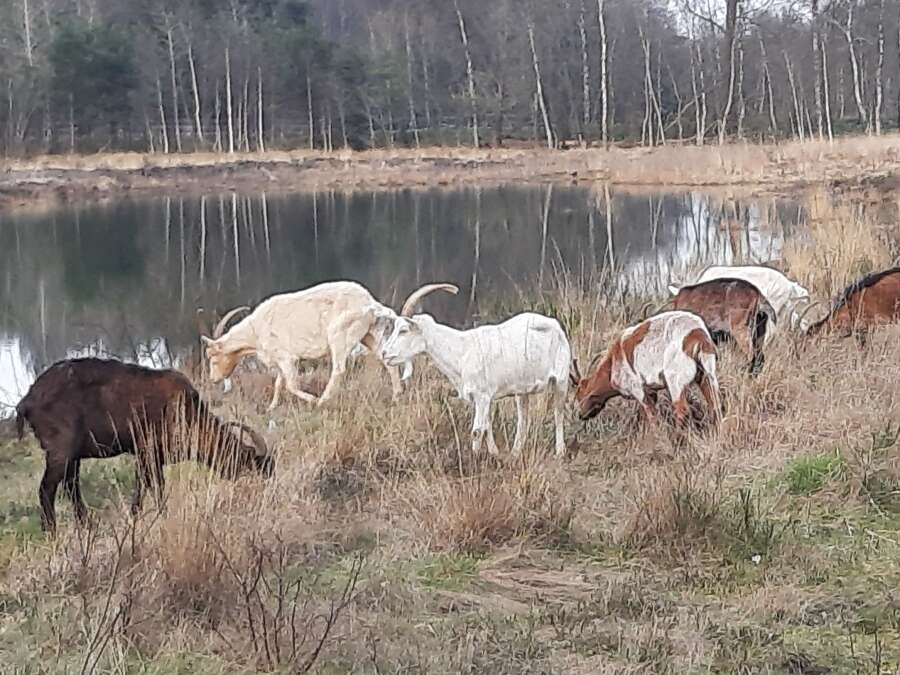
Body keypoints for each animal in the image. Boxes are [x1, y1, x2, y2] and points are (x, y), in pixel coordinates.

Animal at [15, 358, 271, 533]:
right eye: (251, 465)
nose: (257, 494)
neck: (186, 409)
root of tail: (27, 401)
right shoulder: (148, 452)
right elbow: (157, 490)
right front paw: (161, 517)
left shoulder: (147, 457)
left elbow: (142, 488)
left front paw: (136, 518)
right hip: (60, 451)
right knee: (47, 490)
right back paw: (52, 532)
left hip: (73, 456)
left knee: (71, 487)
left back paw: (87, 525)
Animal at [201, 281, 458, 410]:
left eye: (213, 358)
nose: (213, 379)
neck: (255, 330)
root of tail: (370, 303)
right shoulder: (281, 359)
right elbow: (279, 383)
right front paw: (272, 407)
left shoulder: (287, 357)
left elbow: (290, 385)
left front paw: (313, 400)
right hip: (367, 335)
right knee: (387, 360)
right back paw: (396, 395)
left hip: (340, 335)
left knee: (339, 369)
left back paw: (324, 400)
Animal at [379, 312, 571, 457]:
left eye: (404, 330)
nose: (384, 353)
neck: (462, 350)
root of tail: (554, 324)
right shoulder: (480, 398)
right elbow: (487, 425)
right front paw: (494, 453)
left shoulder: (483, 396)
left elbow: (477, 430)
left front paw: (475, 460)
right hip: (522, 389)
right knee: (523, 417)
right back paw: (516, 451)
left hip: (561, 380)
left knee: (558, 413)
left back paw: (560, 451)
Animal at [573, 311, 720, 427]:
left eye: (579, 394)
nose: (580, 415)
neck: (613, 360)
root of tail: (696, 334)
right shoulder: (651, 392)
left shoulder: (638, 391)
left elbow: (652, 418)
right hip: (707, 377)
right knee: (715, 405)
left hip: (675, 384)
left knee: (682, 411)